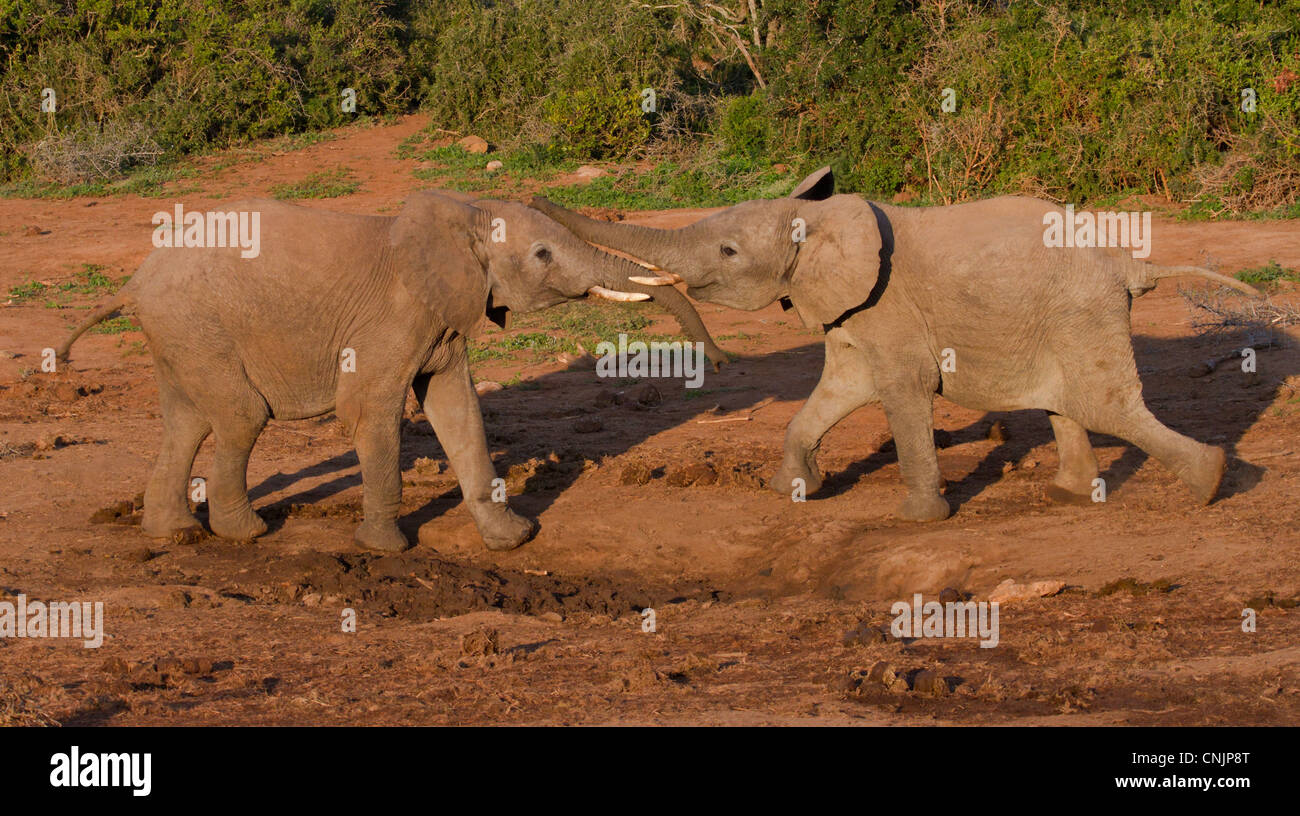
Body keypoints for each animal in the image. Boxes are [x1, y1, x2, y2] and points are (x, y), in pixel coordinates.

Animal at [58, 191, 661, 552]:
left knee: (187, 422)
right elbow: (372, 411)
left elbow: (458, 410)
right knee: (240, 417)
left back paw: (175, 534)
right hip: (195, 327)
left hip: (180, 335)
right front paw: (387, 549)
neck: (463, 215)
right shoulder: (393, 319)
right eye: (541, 254)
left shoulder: (441, 320)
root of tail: (134, 280)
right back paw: (246, 533)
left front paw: (514, 540)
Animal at [530, 169, 1260, 521]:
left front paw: (919, 518)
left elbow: (902, 390)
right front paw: (791, 490)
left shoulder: (890, 308)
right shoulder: (852, 313)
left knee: (1104, 404)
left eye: (730, 252)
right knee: (1069, 405)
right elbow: (836, 391)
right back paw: (1072, 496)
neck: (818, 220)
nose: (533, 201)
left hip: (1081, 312)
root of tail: (1132, 267)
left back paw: (1210, 482)